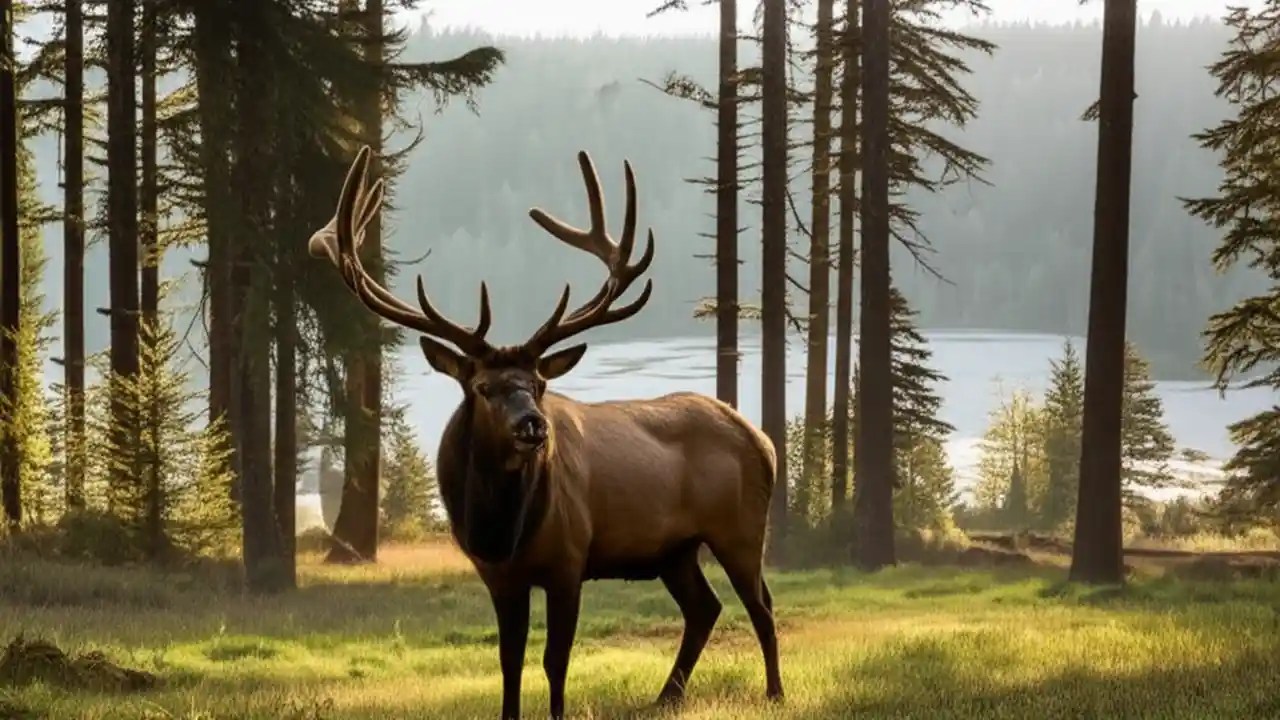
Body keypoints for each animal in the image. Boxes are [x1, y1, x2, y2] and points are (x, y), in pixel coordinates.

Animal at [308, 146, 783, 720]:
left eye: (537, 383)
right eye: (483, 387)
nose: (533, 425)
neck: (502, 529)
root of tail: (763, 441)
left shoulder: (567, 561)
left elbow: (555, 660)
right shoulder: (498, 575)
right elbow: (509, 661)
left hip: (741, 527)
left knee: (761, 604)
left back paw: (774, 692)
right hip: (674, 549)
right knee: (705, 607)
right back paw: (667, 695)